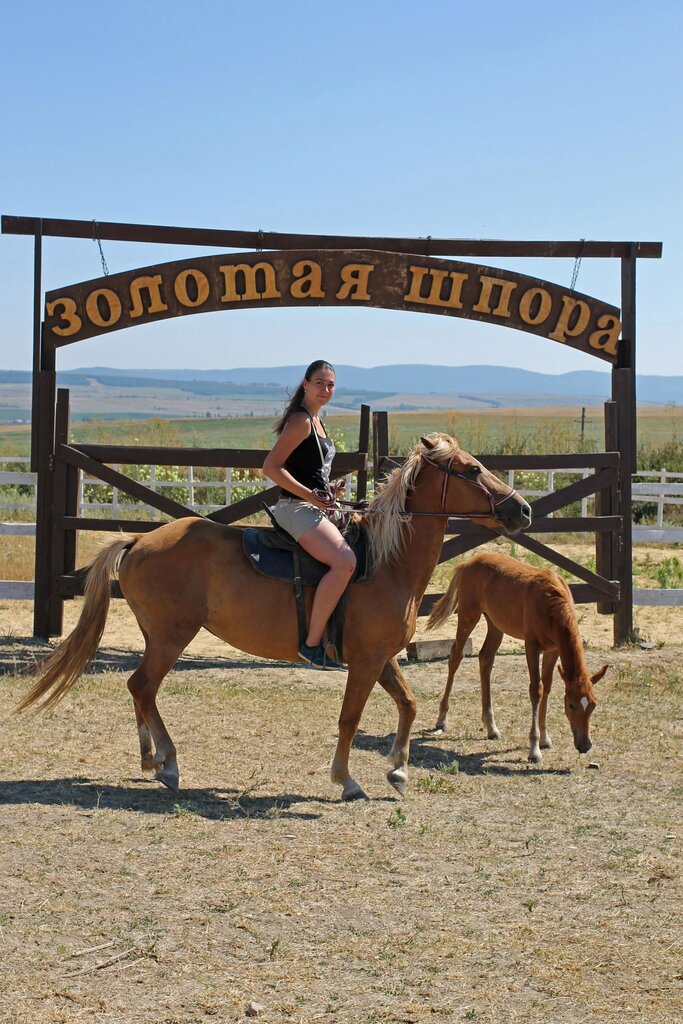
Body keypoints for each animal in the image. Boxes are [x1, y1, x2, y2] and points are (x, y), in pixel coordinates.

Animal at [17, 433, 531, 800]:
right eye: (472, 470)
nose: (522, 509)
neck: (386, 562)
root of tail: (140, 540)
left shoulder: (381, 658)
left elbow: (408, 704)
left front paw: (399, 769)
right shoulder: (364, 662)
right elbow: (350, 717)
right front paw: (346, 780)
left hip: (158, 637)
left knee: (140, 691)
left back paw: (151, 760)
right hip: (170, 638)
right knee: (143, 686)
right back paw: (169, 763)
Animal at [427, 552, 607, 763]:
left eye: (593, 704)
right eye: (571, 705)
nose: (584, 745)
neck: (550, 602)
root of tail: (468, 562)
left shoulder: (553, 649)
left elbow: (547, 686)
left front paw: (545, 739)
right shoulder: (532, 646)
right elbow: (536, 689)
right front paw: (534, 749)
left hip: (495, 624)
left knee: (485, 659)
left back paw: (491, 728)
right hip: (468, 616)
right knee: (456, 656)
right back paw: (441, 719)